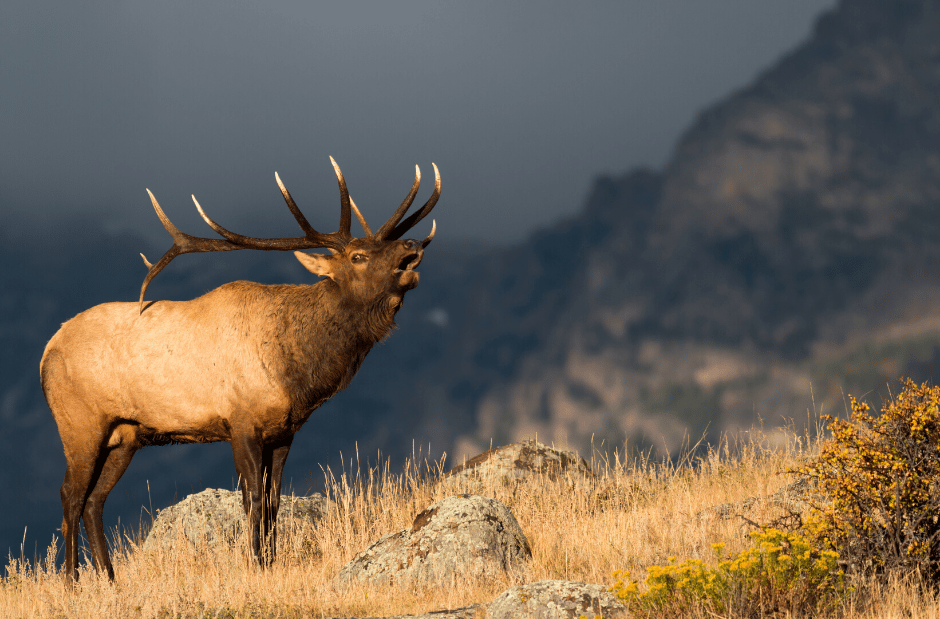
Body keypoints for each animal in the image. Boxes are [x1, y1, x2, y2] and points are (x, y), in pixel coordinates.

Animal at [40, 157, 440, 584]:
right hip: (80, 424)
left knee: (95, 499)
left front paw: (272, 561)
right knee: (70, 495)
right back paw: (72, 581)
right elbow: (251, 499)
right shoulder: (241, 421)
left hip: (126, 435)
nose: (413, 245)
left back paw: (110, 579)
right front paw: (255, 563)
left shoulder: (284, 432)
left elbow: (273, 499)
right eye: (358, 256)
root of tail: (45, 354)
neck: (296, 373)